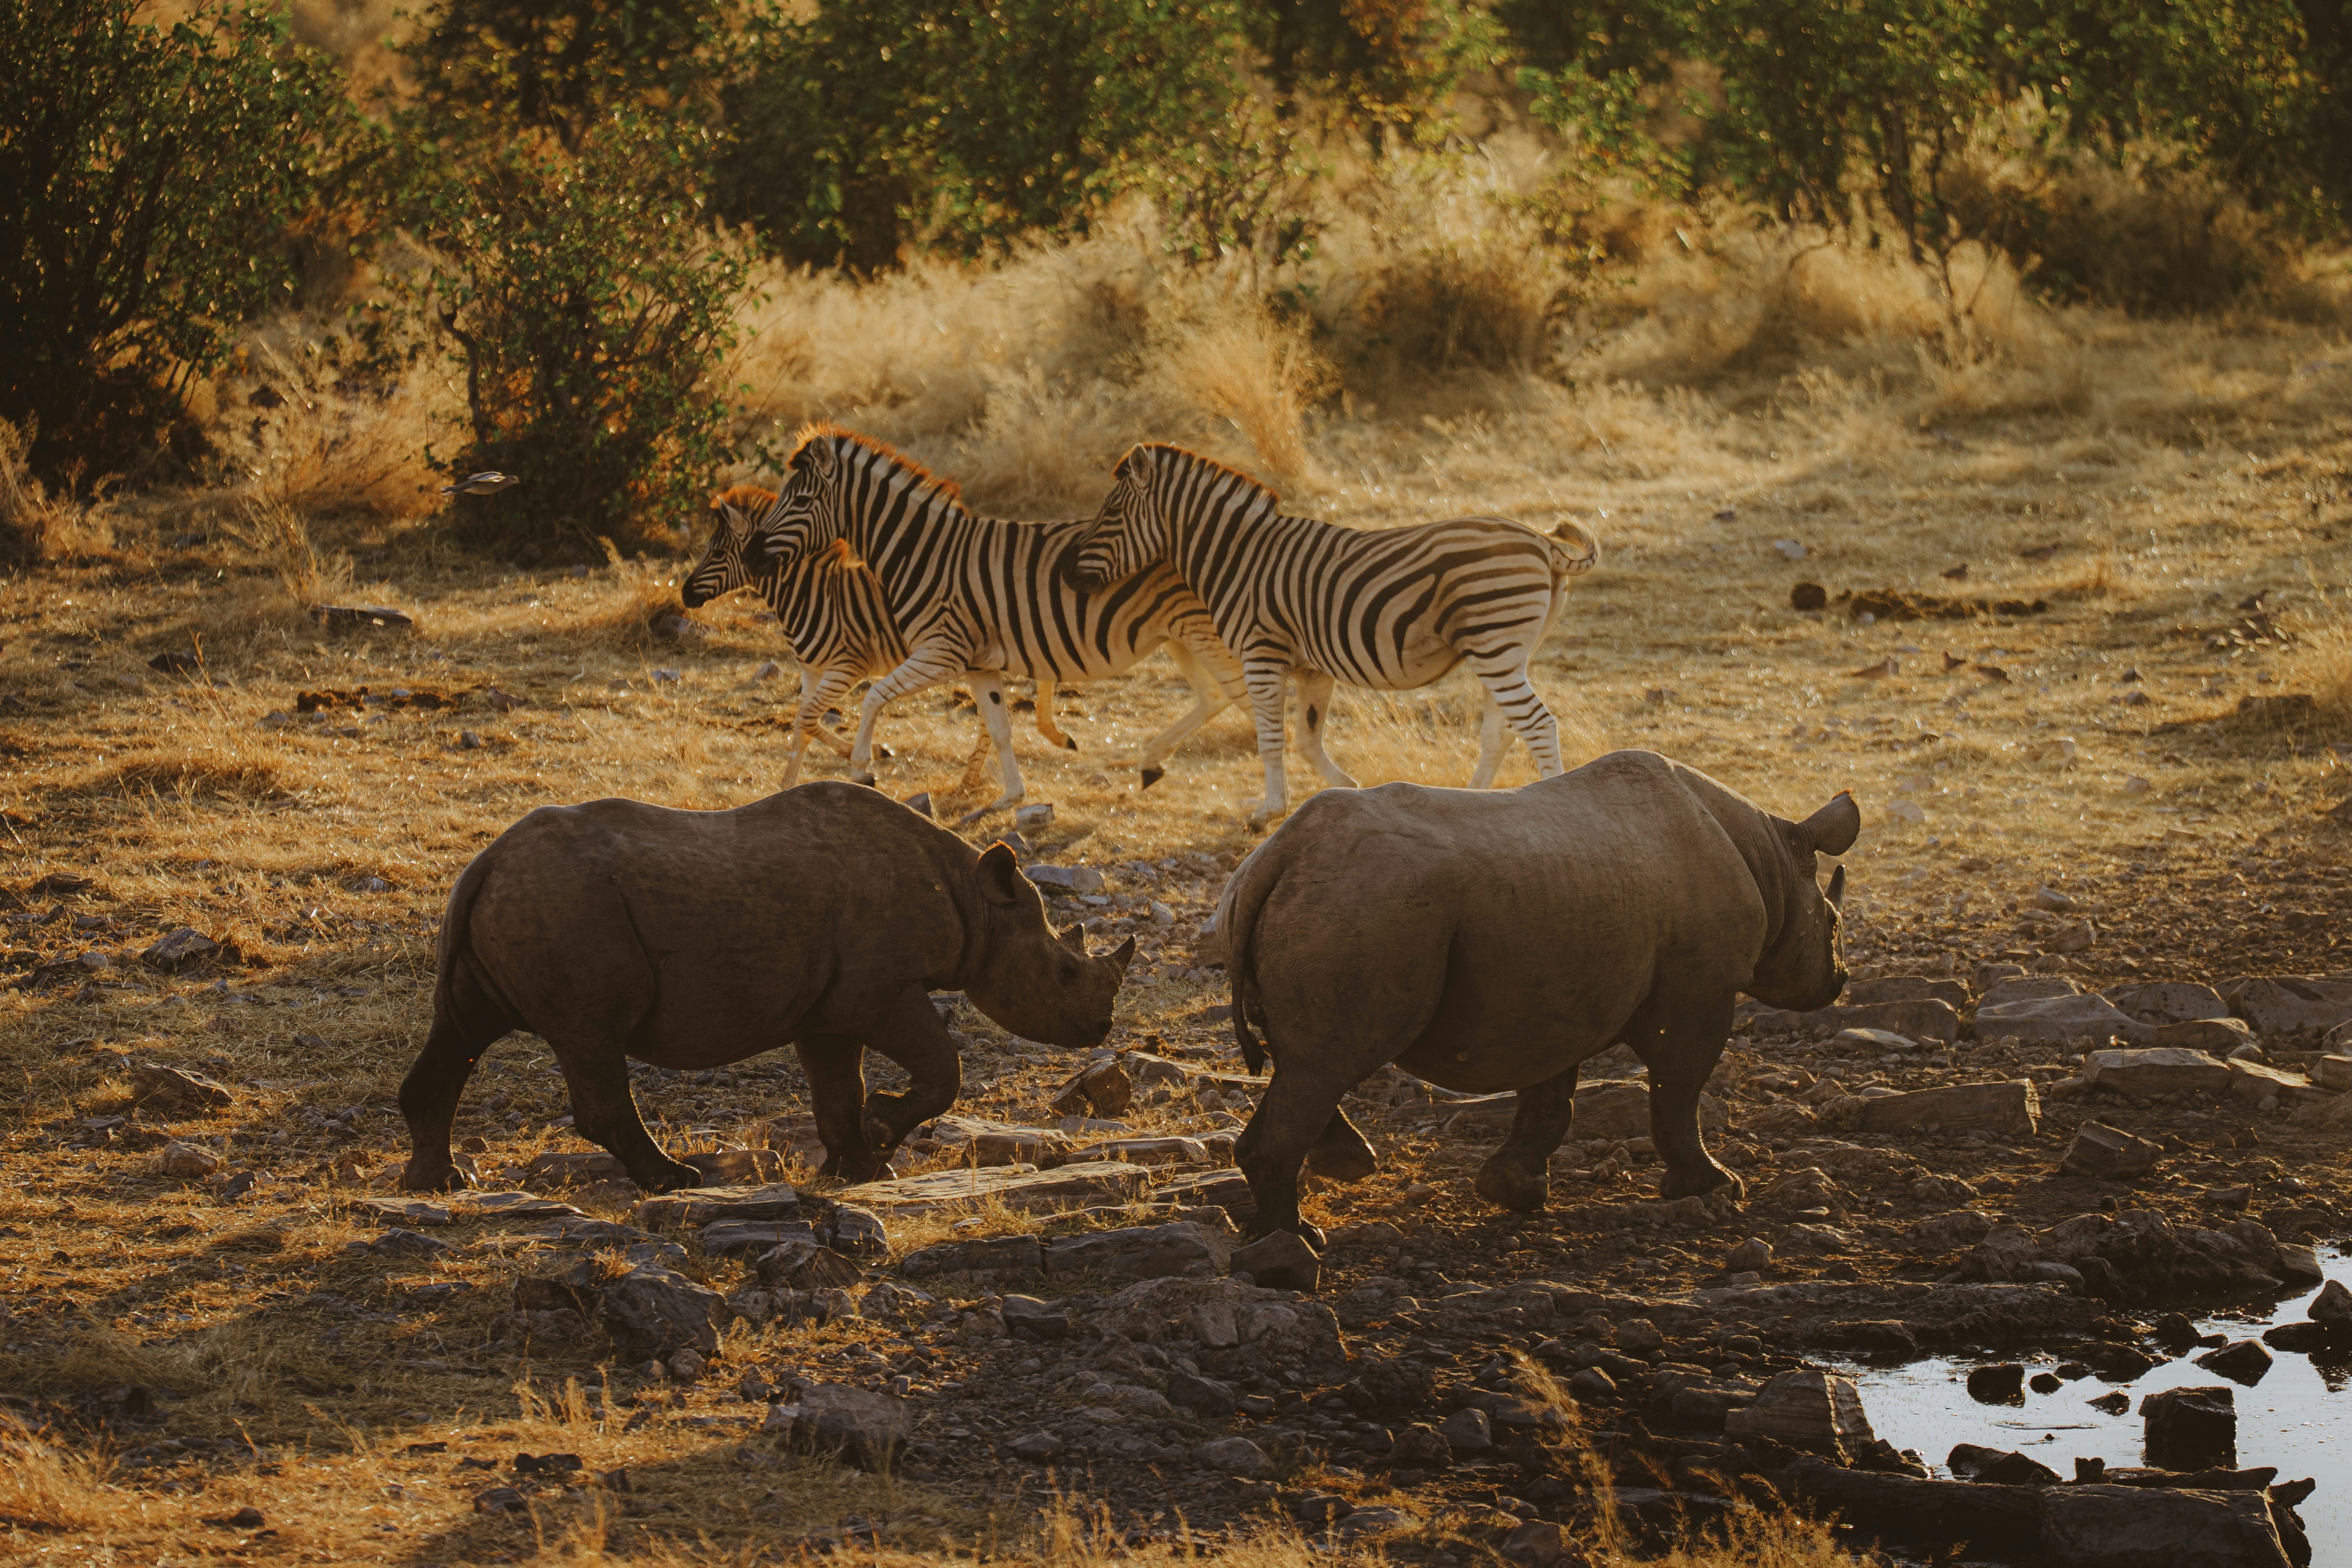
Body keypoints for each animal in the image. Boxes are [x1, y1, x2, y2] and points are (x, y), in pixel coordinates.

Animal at [396, 783, 1133, 1194]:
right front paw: (883, 1137)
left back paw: (438, 1185)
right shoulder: (879, 989)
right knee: (591, 1038)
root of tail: (486, 861)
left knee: (464, 1031)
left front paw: (862, 1170)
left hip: (516, 907)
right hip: (571, 909)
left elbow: (838, 1089)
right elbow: (941, 1068)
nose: (1100, 1029)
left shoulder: (829, 1007)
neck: (977, 902)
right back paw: (674, 1181)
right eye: (1066, 974)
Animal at [741, 430, 1250, 818]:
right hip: (1179, 635)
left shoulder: (941, 653)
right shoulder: (977, 664)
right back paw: (1156, 765)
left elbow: (873, 697)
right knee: (1216, 696)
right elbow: (1000, 727)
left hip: (1204, 632)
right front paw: (1011, 797)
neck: (922, 554)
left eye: (801, 499)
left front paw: (862, 768)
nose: (749, 553)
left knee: (1245, 699)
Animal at [1067, 443, 1600, 827]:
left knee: (1537, 725)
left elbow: (1271, 738)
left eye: (1110, 514)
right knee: (1502, 732)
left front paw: (1267, 813)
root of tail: (1543, 544)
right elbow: (1306, 738)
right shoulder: (1311, 667)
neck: (1240, 558)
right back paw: (1472, 802)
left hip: (1493, 644)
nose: (1071, 580)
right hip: (1501, 650)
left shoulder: (1262, 653)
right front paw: (1348, 789)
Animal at [1220, 749, 1857, 1244]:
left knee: (1310, 1063)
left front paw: (1513, 1192)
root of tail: (1279, 855)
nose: (1839, 981)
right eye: (1830, 923)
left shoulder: (1558, 993)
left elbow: (1553, 1096)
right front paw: (1718, 1188)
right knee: (1325, 1064)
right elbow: (1678, 1092)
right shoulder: (1699, 991)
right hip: (1364, 905)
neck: (1773, 856)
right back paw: (1297, 1239)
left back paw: (1338, 1175)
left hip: (1332, 902)